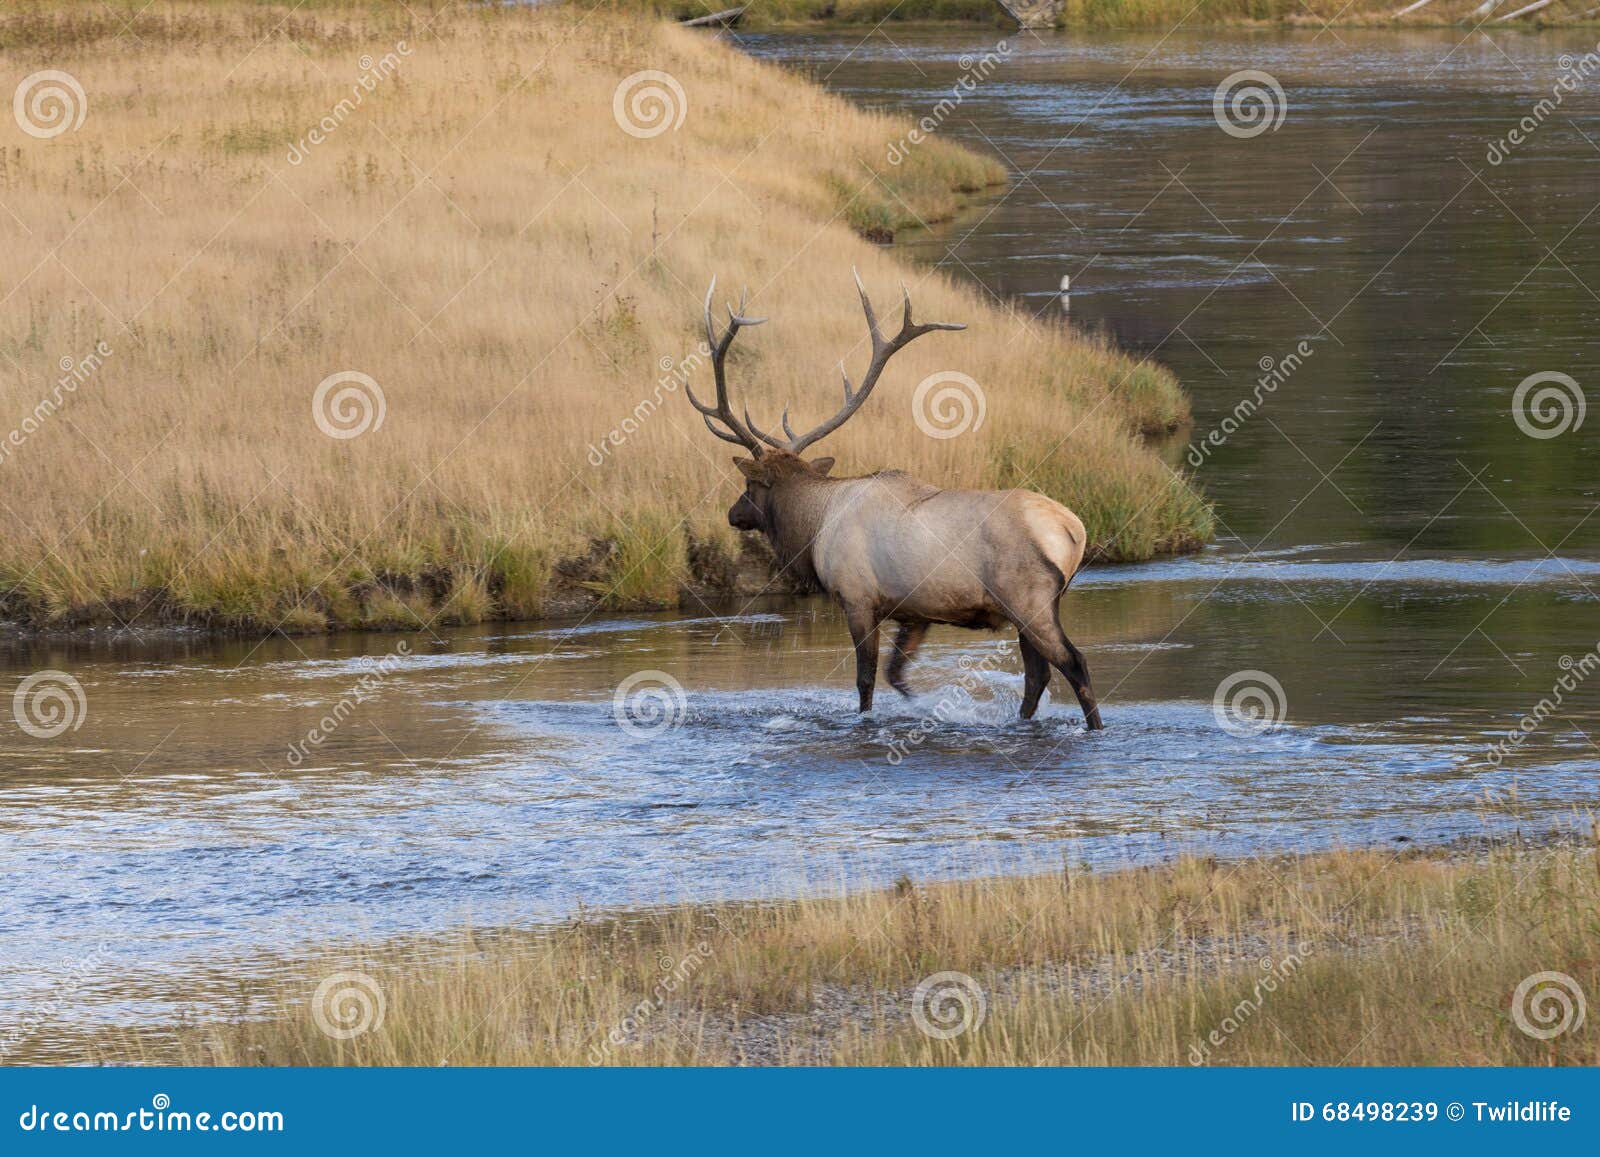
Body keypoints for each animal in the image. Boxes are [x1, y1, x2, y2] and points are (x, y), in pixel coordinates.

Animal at [685, 271, 1104, 731]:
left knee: (1073, 663)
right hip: (1030, 607)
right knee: (1037, 674)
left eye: (749, 485)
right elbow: (896, 673)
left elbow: (866, 679)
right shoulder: (915, 611)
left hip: (1029, 598)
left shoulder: (857, 597)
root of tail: (1072, 529)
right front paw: (926, 704)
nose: (732, 514)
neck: (813, 527)